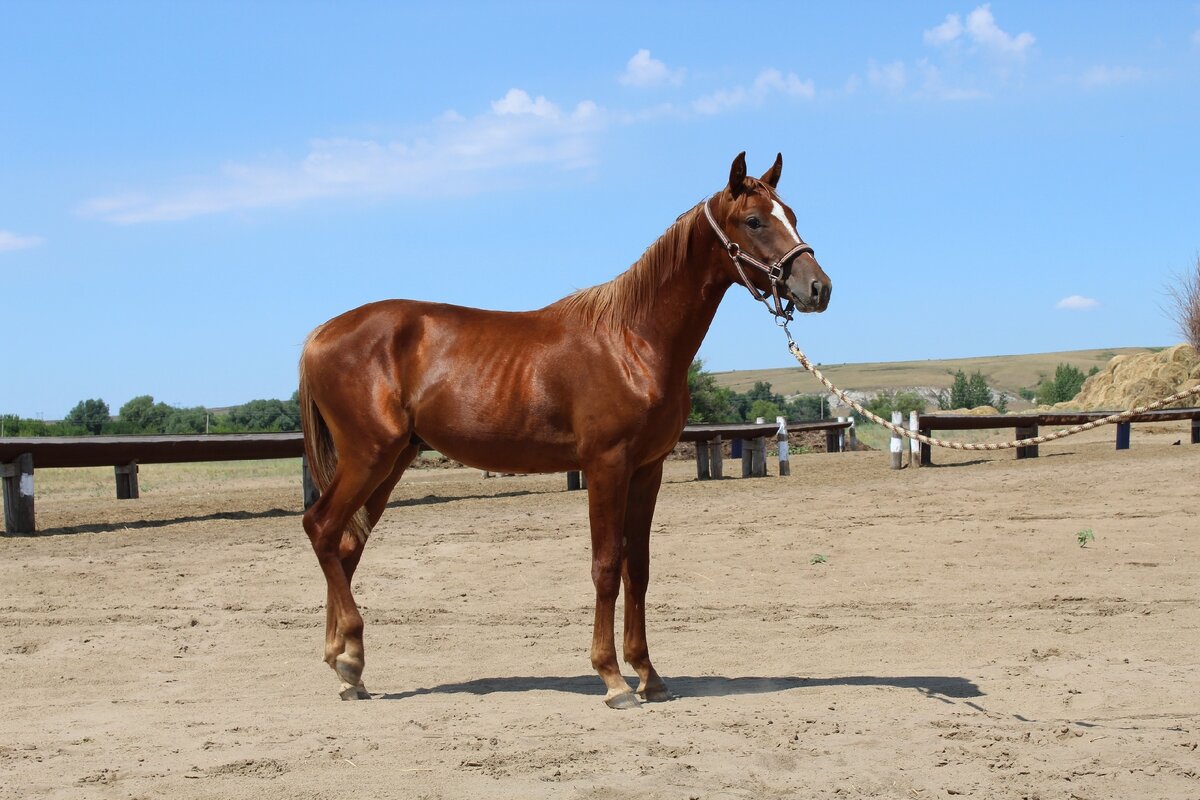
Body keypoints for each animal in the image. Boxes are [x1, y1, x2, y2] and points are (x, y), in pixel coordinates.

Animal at [297, 153, 835, 710]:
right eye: (754, 221)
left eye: (792, 214)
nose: (818, 288)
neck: (633, 340)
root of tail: (321, 335)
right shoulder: (605, 465)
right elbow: (606, 565)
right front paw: (613, 678)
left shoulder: (647, 470)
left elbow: (638, 568)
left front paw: (649, 675)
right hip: (368, 457)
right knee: (322, 528)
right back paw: (348, 657)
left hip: (392, 462)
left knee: (345, 545)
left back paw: (349, 668)